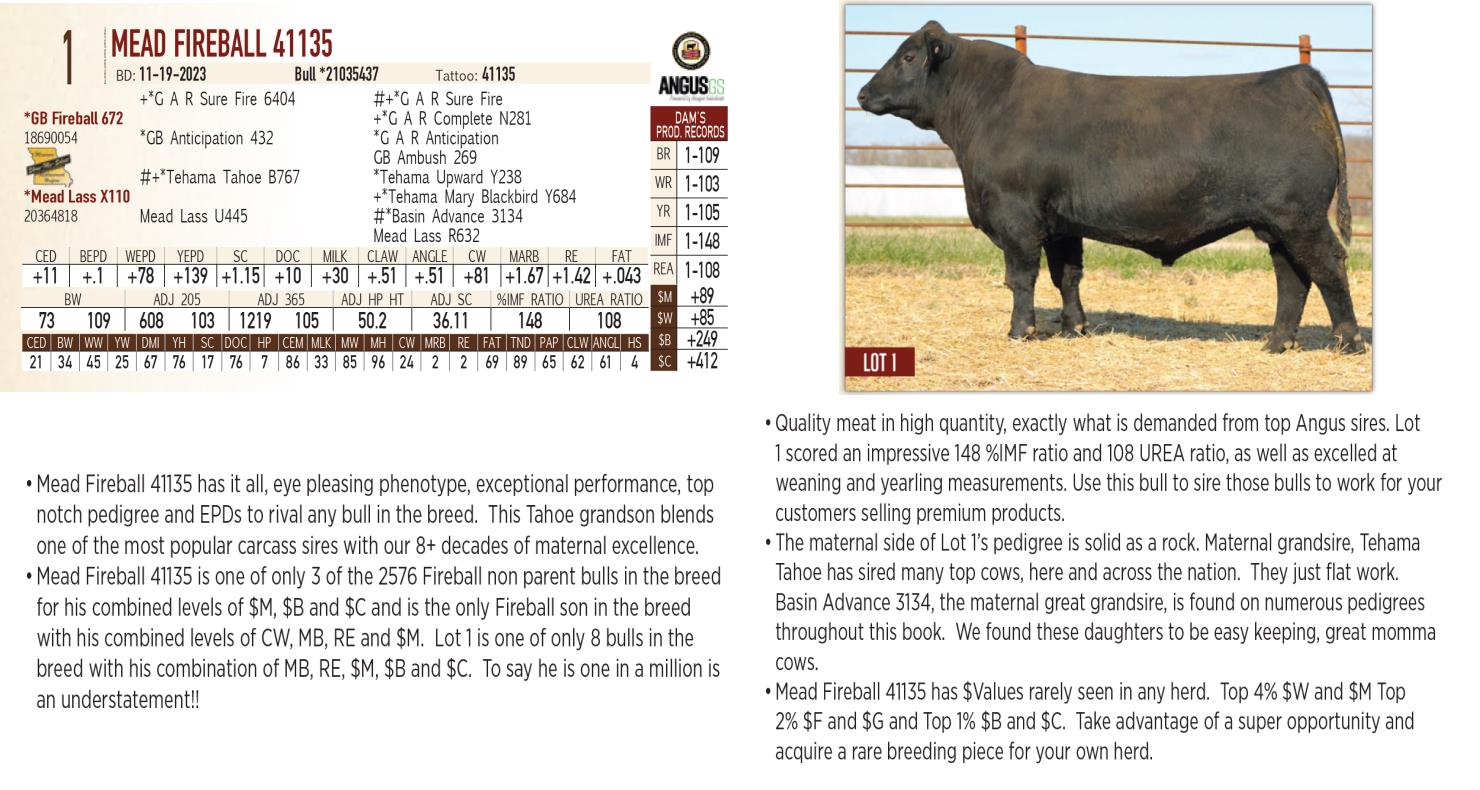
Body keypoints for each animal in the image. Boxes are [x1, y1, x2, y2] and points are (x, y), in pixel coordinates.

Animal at [857, 21, 1363, 353]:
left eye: (908, 56)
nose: (862, 93)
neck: (987, 108)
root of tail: (1295, 75)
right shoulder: (1060, 223)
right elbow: (1066, 275)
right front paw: (1074, 328)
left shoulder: (1016, 218)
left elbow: (1020, 278)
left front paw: (1021, 332)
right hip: (1276, 223)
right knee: (1292, 275)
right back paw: (1276, 343)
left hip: (1299, 216)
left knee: (1327, 265)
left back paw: (1348, 341)